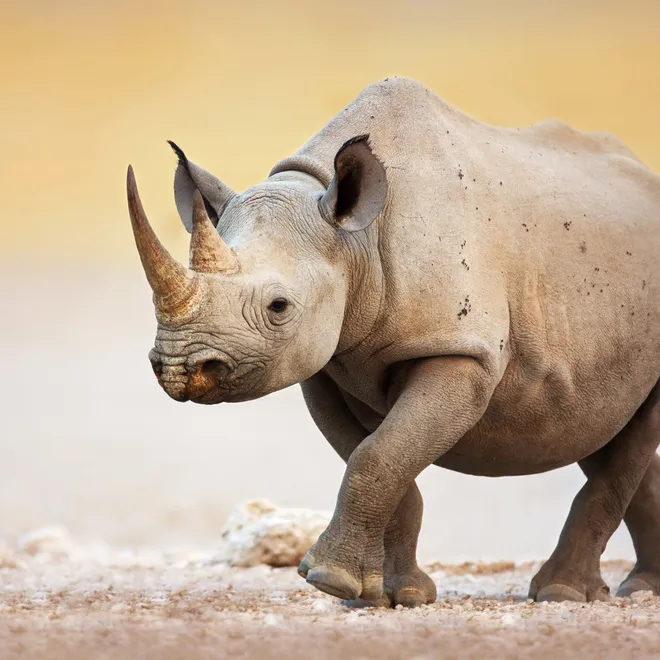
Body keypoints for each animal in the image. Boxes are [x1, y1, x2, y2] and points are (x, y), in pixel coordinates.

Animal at [127, 77, 660, 606]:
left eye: (279, 307)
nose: (178, 368)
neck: (353, 240)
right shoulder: (326, 363)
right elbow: (380, 458)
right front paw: (390, 594)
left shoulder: (459, 351)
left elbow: (379, 455)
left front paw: (329, 580)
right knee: (597, 425)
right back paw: (638, 587)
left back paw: (562, 593)